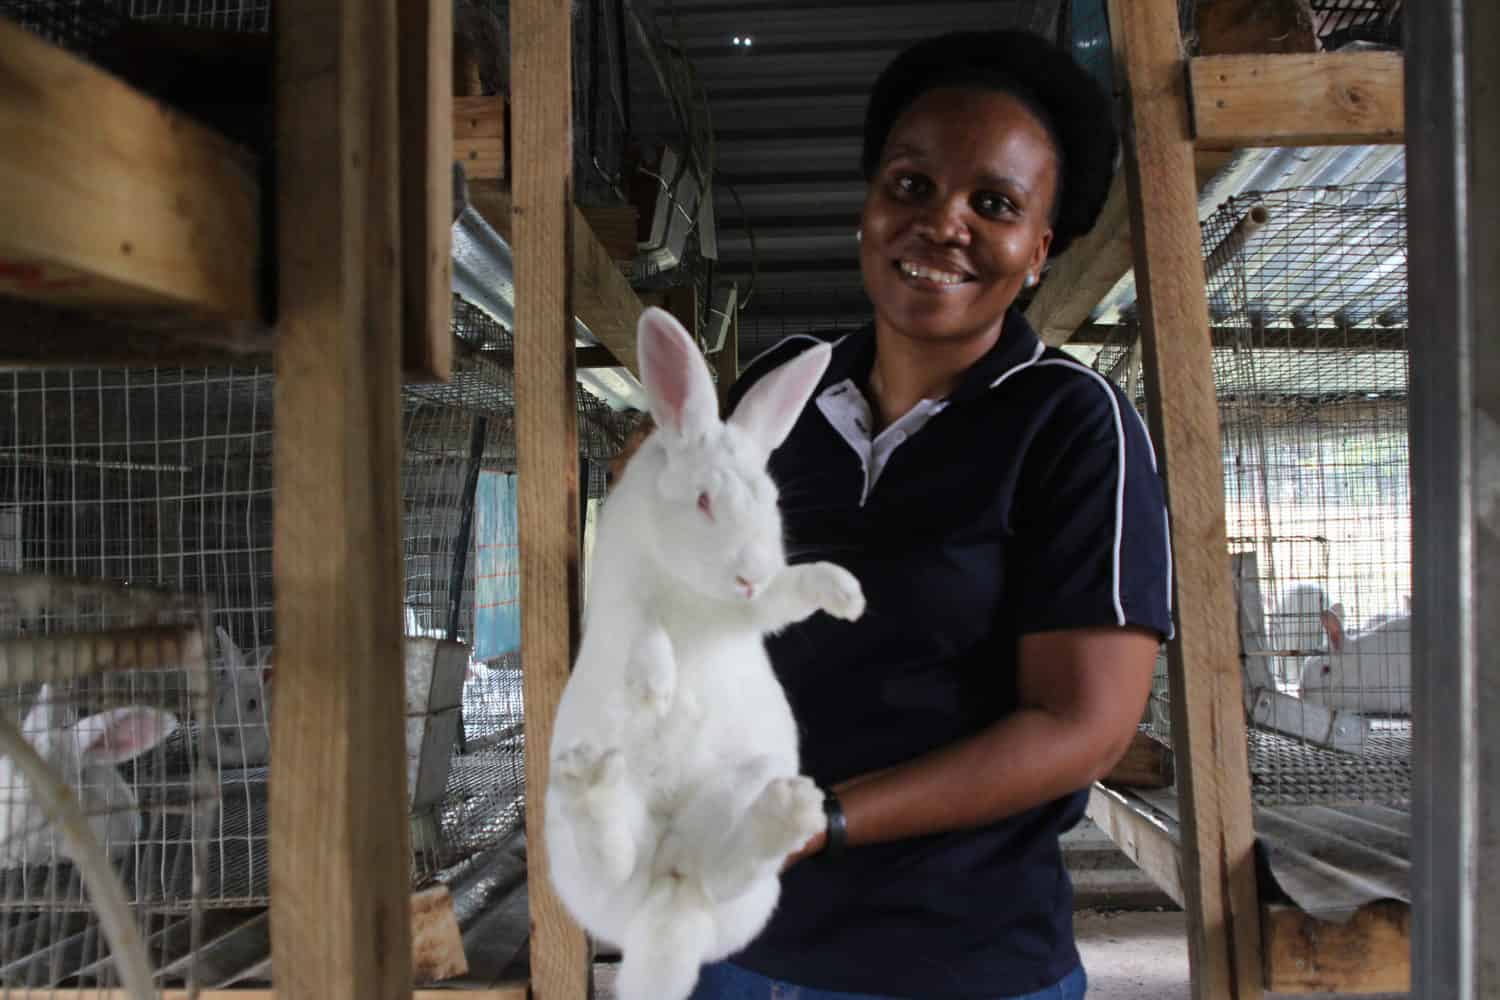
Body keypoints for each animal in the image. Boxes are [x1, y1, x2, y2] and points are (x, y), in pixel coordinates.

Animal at [545, 307, 866, 1000]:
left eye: (771, 501)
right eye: (702, 500)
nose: (748, 573)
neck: (694, 589)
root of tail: (669, 907)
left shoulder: (751, 613)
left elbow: (786, 596)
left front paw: (846, 596)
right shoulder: (619, 592)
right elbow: (643, 629)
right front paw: (656, 689)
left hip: (741, 790)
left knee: (722, 869)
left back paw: (787, 814)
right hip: (576, 848)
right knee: (614, 861)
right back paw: (592, 786)